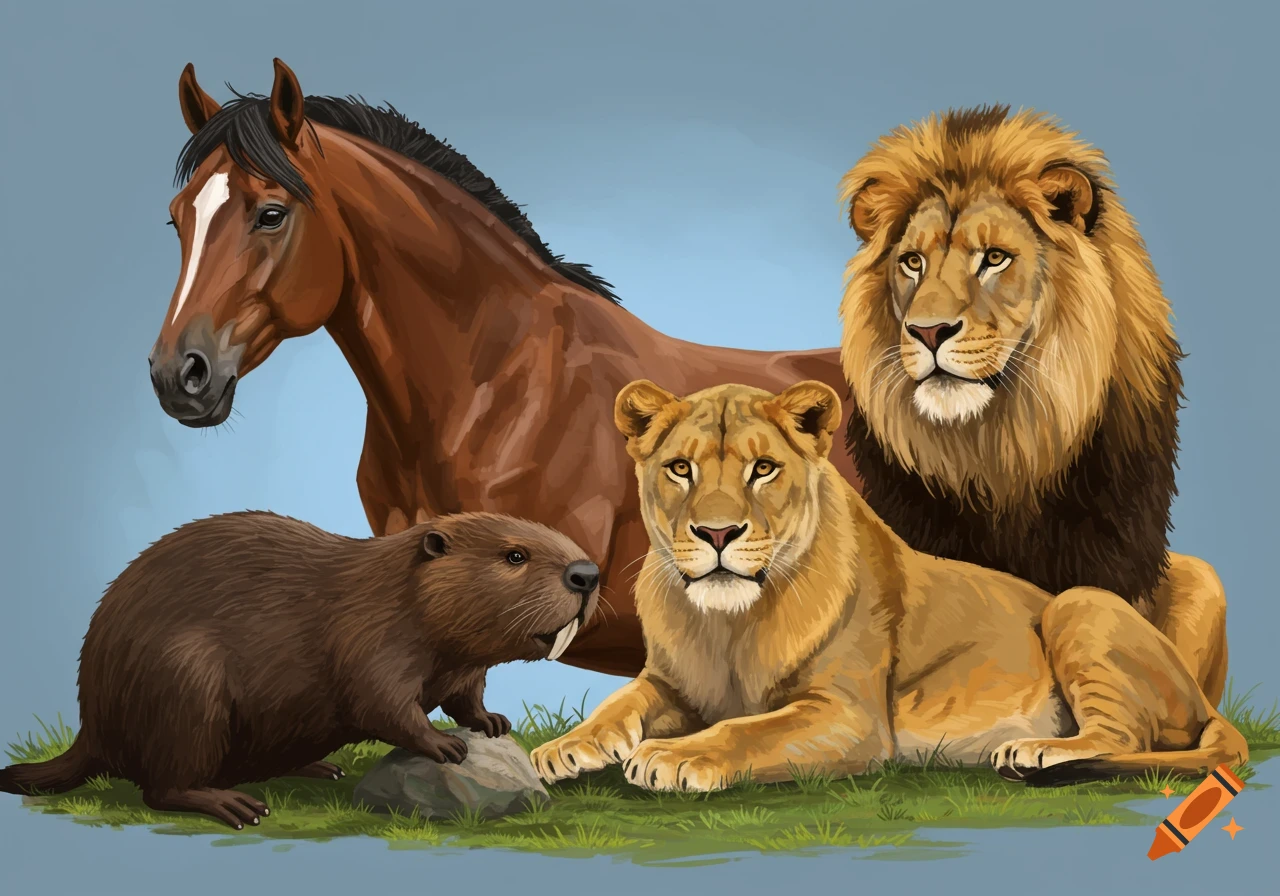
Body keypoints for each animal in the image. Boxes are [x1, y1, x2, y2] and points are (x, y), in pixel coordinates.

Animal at [529, 380, 1246, 791]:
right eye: (680, 468)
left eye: (763, 468)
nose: (717, 532)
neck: (729, 623)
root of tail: (1205, 700)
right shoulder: (669, 684)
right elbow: (616, 705)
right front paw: (563, 750)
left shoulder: (852, 718)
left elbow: (745, 731)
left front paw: (672, 757)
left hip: (1079, 603)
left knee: (1125, 739)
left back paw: (1036, 751)